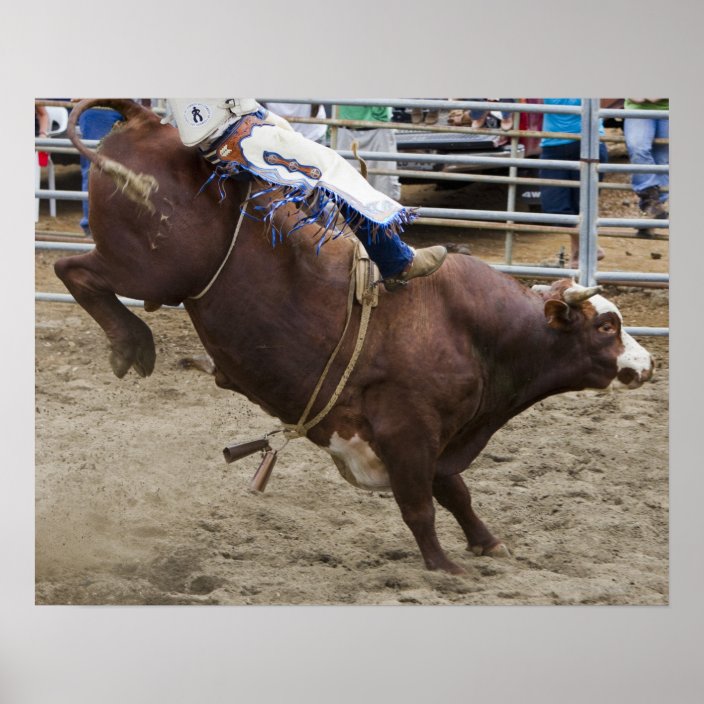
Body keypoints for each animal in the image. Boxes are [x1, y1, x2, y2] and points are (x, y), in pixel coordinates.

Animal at [53, 99, 654, 575]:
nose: (648, 363)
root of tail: (143, 117)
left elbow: (454, 492)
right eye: (606, 326)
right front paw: (444, 567)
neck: (478, 331)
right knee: (72, 269)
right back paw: (131, 341)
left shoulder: (439, 438)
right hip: (153, 269)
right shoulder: (407, 429)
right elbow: (420, 506)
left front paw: (487, 544)